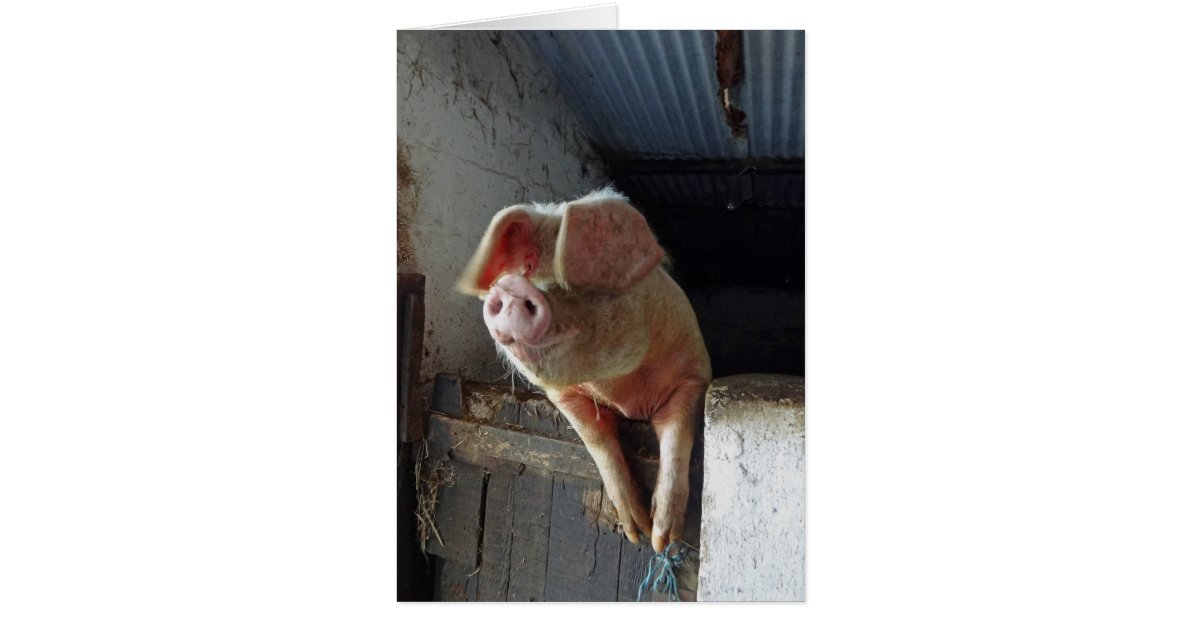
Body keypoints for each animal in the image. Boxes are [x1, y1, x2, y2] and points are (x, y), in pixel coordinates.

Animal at [455, 187, 712, 553]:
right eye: (528, 265)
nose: (509, 288)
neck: (622, 391)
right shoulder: (563, 396)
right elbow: (596, 441)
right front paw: (635, 530)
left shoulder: (694, 373)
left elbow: (677, 432)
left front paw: (660, 539)